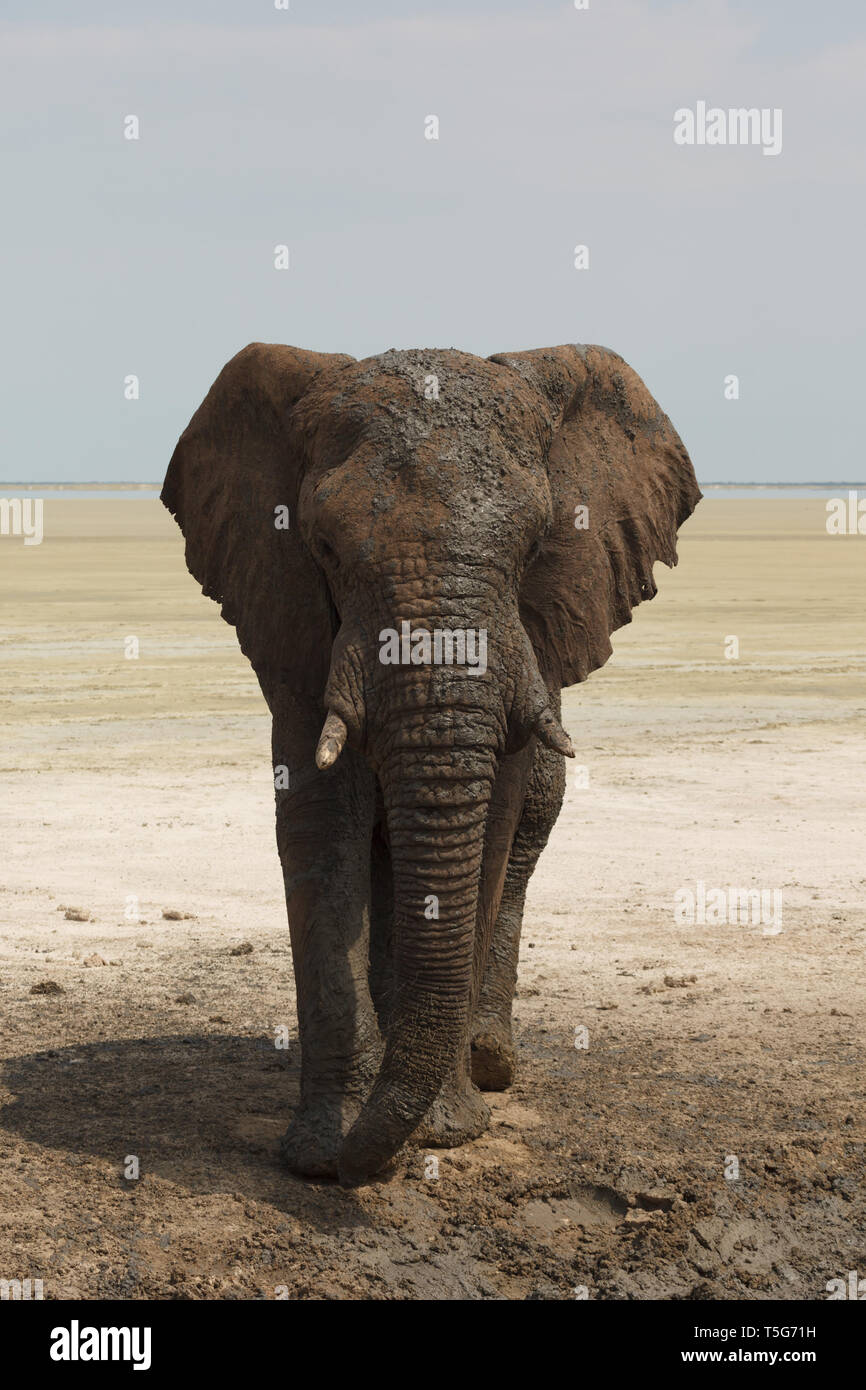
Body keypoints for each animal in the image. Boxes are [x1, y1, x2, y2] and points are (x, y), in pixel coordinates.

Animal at [161, 342, 700, 1185]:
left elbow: (497, 819)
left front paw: (445, 1134)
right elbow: (320, 822)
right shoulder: (293, 615)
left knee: (532, 822)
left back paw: (487, 1062)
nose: (358, 1165)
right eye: (322, 549)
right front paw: (321, 1153)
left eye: (537, 545)